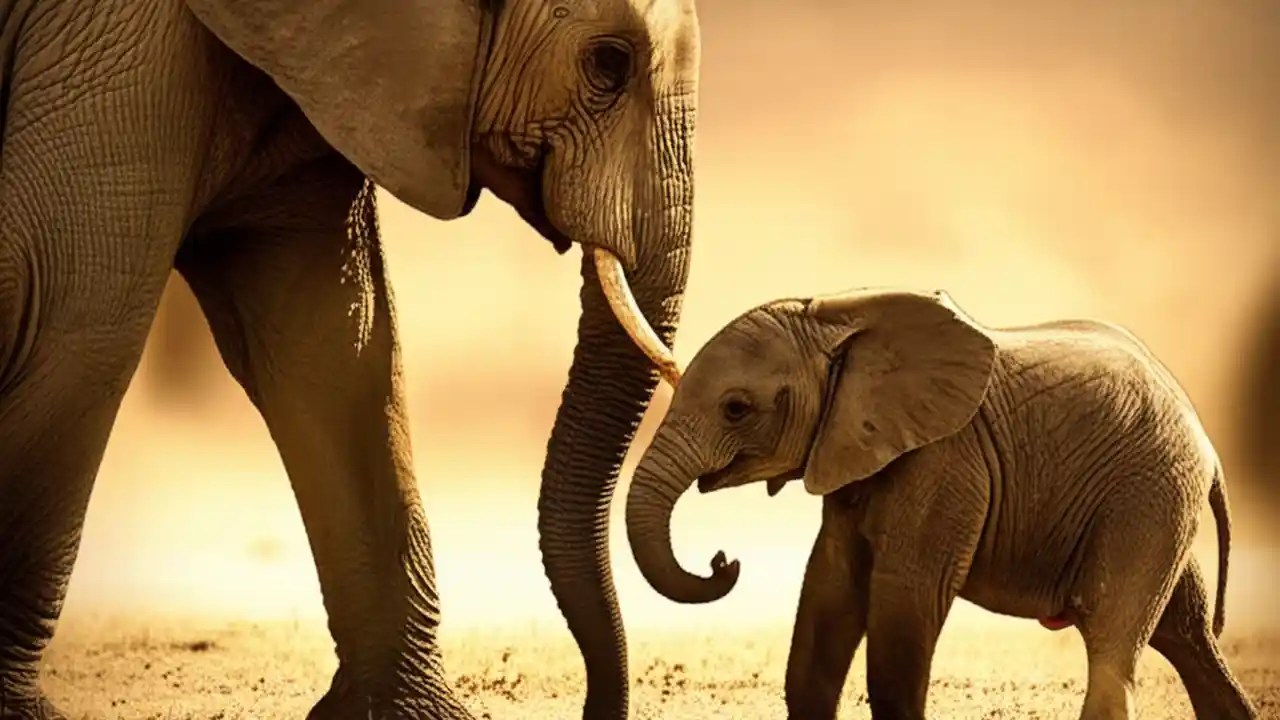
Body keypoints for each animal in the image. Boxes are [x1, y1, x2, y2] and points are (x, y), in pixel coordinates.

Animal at [0, 0, 700, 718]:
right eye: (608, 64)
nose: (720, 565)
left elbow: (338, 346)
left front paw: (411, 711)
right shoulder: (124, 57)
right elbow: (74, 322)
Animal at [625, 288, 1257, 720]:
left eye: (736, 408)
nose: (724, 561)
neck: (837, 320)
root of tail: (1208, 447)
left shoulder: (945, 461)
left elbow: (904, 605)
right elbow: (829, 592)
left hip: (1147, 492)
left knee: (1113, 647)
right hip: (1159, 496)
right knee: (1188, 633)